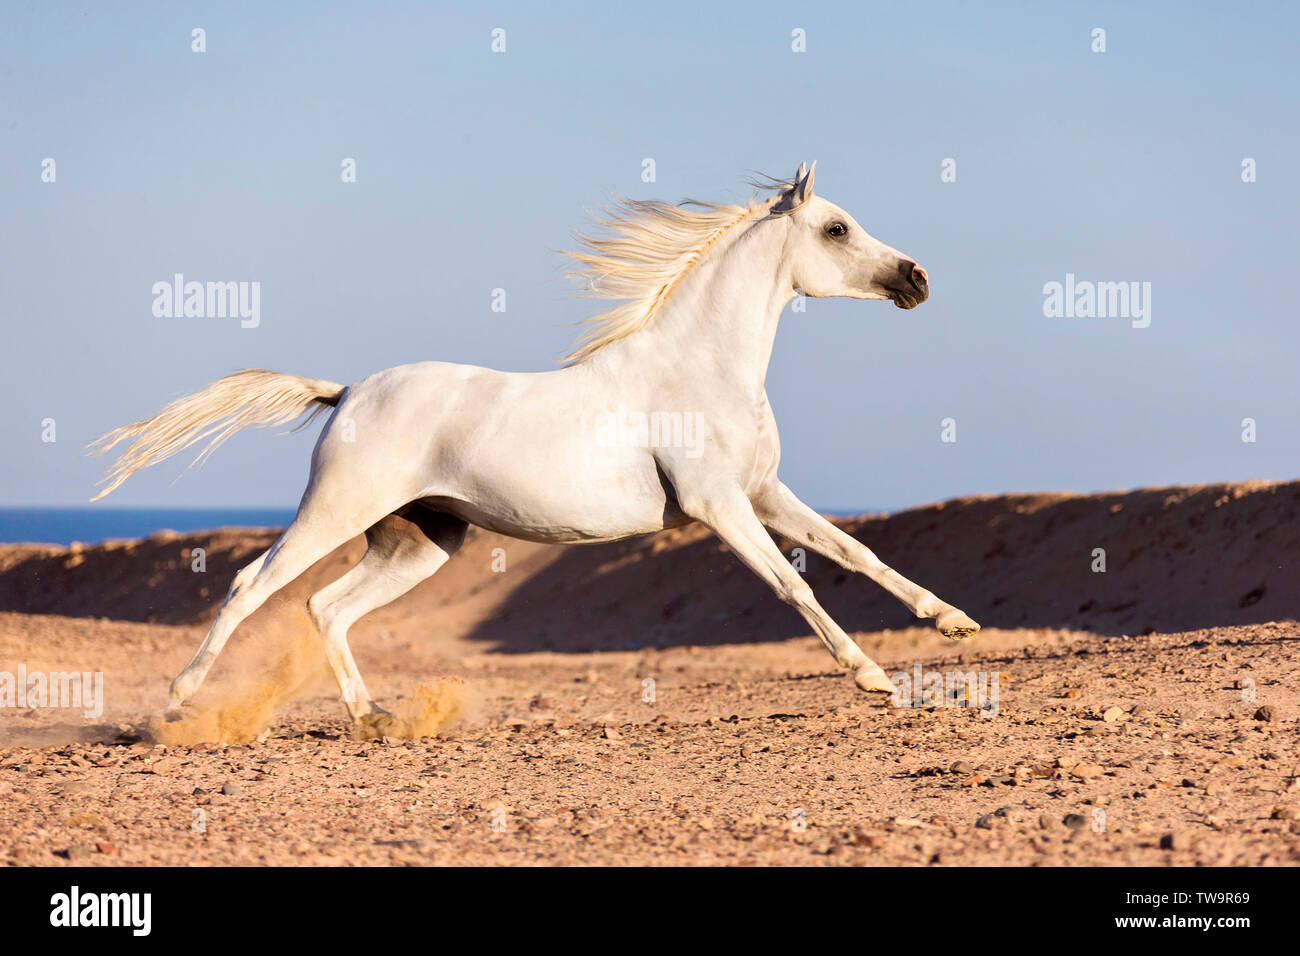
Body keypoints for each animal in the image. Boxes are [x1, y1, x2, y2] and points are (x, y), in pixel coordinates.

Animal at [91, 162, 980, 738]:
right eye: (836, 227)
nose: (918, 278)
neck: (699, 366)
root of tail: (345, 393)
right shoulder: (719, 506)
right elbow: (792, 586)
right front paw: (871, 676)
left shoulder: (765, 493)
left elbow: (858, 554)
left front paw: (955, 624)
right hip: (339, 511)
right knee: (253, 585)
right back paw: (175, 706)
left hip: (421, 542)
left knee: (325, 607)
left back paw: (372, 716)